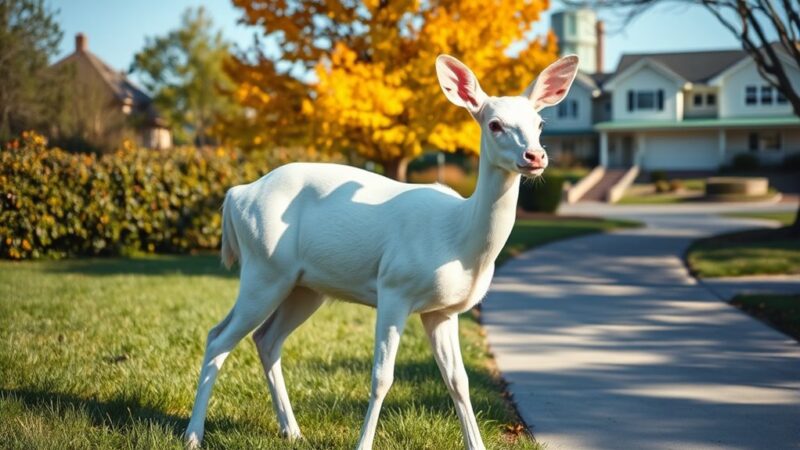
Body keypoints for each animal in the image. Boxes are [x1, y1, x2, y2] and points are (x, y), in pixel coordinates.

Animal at [184, 54, 579, 450]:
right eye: (494, 124)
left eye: (540, 123)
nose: (535, 155)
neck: (459, 238)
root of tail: (236, 195)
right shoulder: (394, 287)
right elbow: (382, 377)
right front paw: (363, 444)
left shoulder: (442, 311)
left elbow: (459, 380)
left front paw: (477, 445)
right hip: (264, 268)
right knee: (218, 337)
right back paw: (193, 435)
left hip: (304, 286)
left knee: (265, 340)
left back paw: (291, 430)